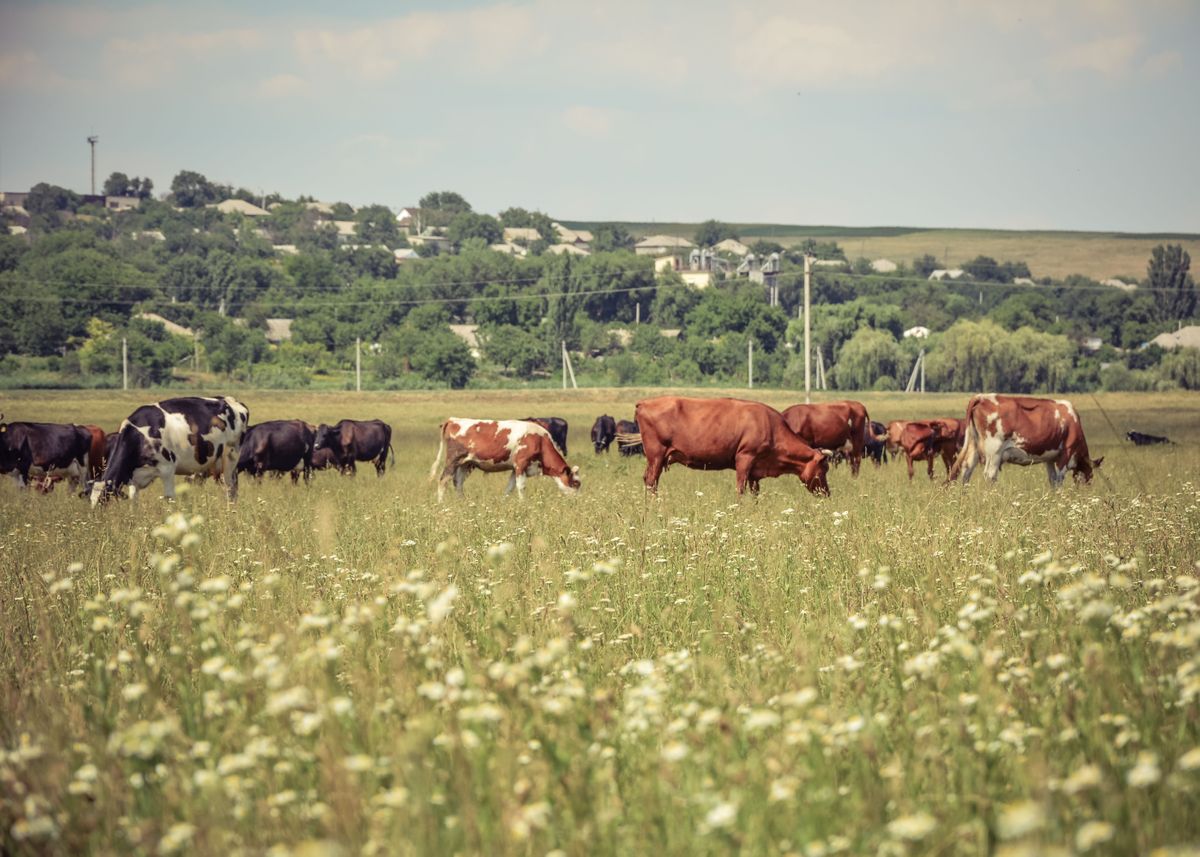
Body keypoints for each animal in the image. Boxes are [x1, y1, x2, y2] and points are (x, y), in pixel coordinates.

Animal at [89, 396, 250, 506]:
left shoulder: (167, 469)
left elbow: (169, 499)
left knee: (231, 489)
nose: (96, 518)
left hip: (230, 458)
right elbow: (133, 501)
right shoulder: (134, 477)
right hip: (216, 466)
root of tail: (231, 400)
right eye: (90, 500)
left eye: (102, 499)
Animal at [430, 418, 581, 501]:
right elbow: (521, 487)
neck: (540, 440)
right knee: (443, 480)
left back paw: (463, 502)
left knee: (458, 483)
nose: (575, 501)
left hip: (466, 464)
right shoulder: (521, 464)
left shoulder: (515, 469)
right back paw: (441, 504)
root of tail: (453, 420)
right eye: (575, 483)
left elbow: (509, 488)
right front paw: (523, 504)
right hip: (452, 460)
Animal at [635, 396, 829, 496]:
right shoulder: (745, 458)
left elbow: (755, 492)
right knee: (651, 481)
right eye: (824, 469)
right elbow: (740, 489)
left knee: (648, 480)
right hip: (656, 454)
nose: (827, 493)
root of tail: (645, 402)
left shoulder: (755, 471)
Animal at [948, 394, 1102, 486]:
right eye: (1090, 475)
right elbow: (1059, 480)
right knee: (990, 475)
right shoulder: (1066, 453)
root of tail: (982, 396)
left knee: (966, 470)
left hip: (973, 445)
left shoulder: (1049, 459)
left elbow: (1052, 480)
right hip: (994, 451)